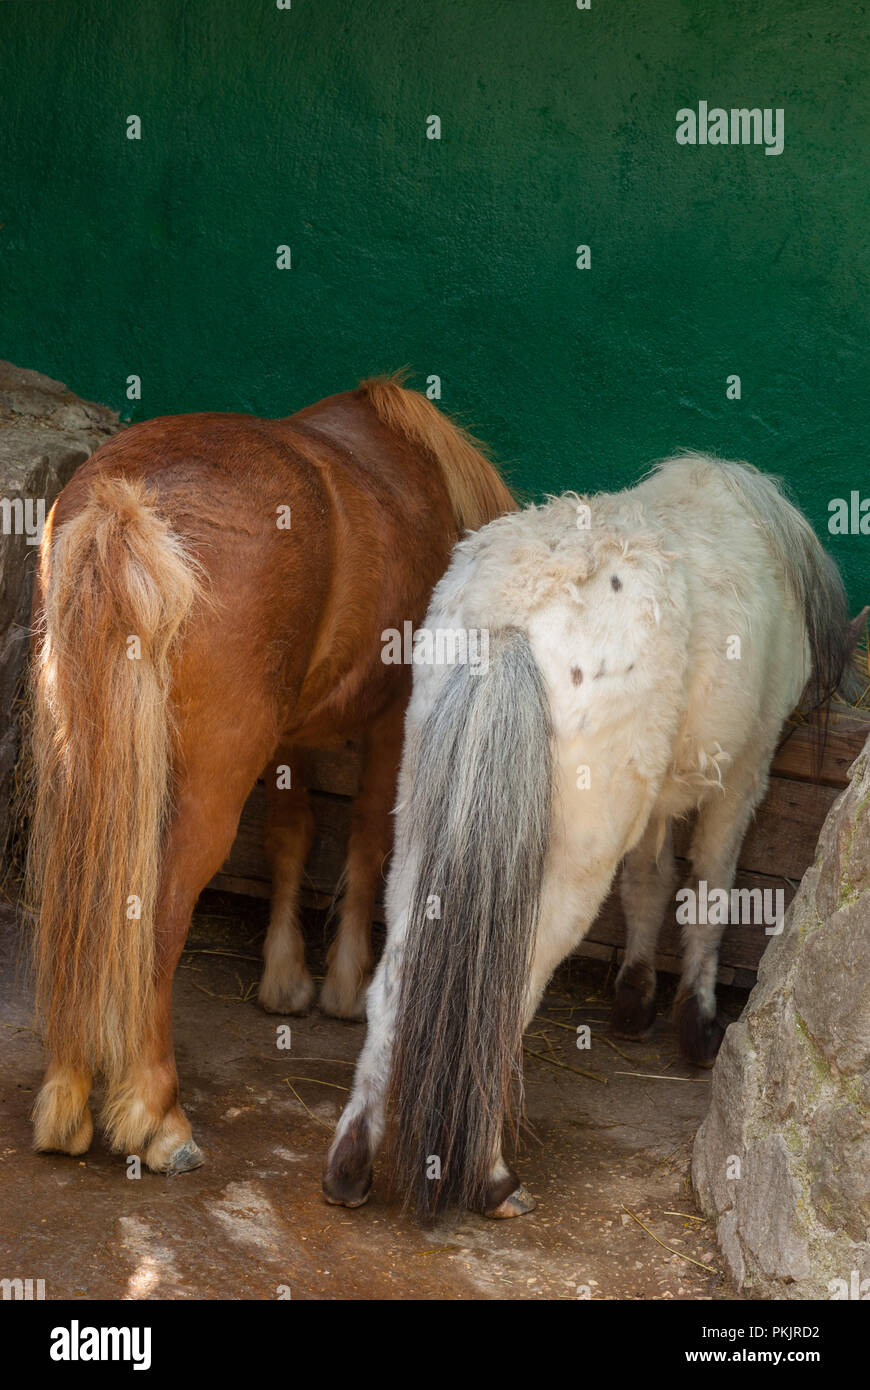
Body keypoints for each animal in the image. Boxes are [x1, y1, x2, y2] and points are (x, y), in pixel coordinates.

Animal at [25, 375, 515, 1174]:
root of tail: (127, 501)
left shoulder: (287, 733)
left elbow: (291, 836)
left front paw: (286, 977)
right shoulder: (392, 715)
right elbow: (368, 836)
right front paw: (344, 982)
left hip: (82, 765)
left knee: (84, 900)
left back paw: (66, 1097)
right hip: (206, 788)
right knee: (159, 918)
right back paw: (157, 1117)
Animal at [323, 453, 853, 1221]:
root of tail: (515, 619)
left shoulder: (656, 800)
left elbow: (650, 882)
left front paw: (635, 995)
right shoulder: (743, 775)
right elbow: (709, 892)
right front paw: (697, 1023)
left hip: (422, 834)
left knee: (392, 985)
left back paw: (351, 1166)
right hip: (565, 870)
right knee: (505, 1003)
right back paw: (492, 1181)